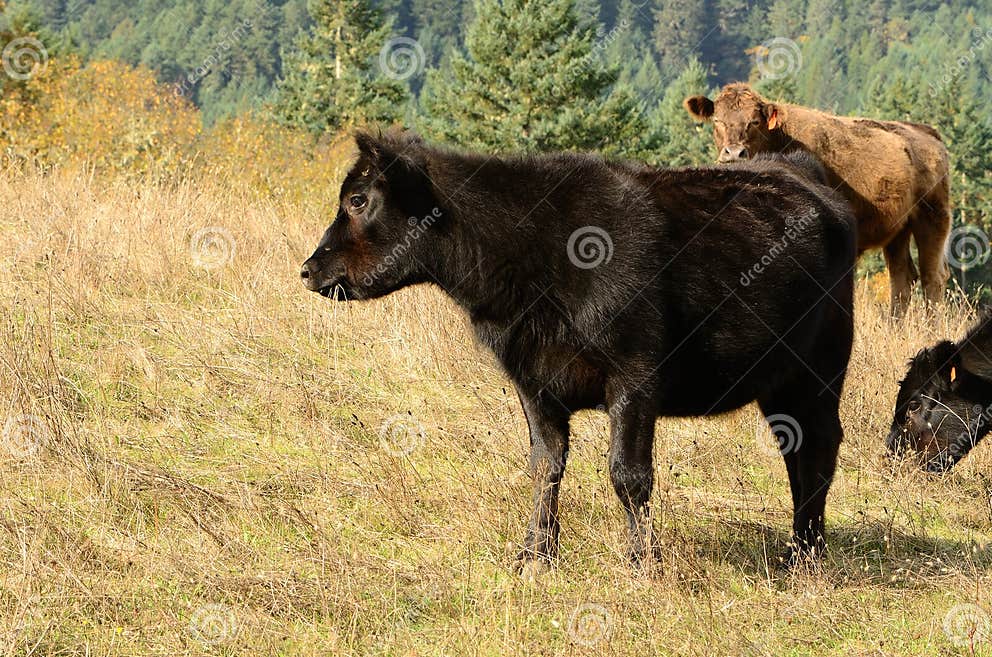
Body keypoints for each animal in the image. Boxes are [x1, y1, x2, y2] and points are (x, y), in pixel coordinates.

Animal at [300, 131, 856, 571]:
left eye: (357, 200)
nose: (308, 269)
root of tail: (798, 168)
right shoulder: (532, 380)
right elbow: (545, 466)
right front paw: (534, 556)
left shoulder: (635, 375)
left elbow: (628, 476)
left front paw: (642, 563)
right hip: (781, 382)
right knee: (796, 450)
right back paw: (799, 548)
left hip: (820, 368)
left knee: (818, 448)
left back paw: (806, 555)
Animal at [684, 83, 951, 317]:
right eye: (717, 120)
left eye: (754, 121)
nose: (734, 153)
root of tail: (926, 132)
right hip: (898, 231)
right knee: (902, 279)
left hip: (932, 218)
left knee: (932, 278)